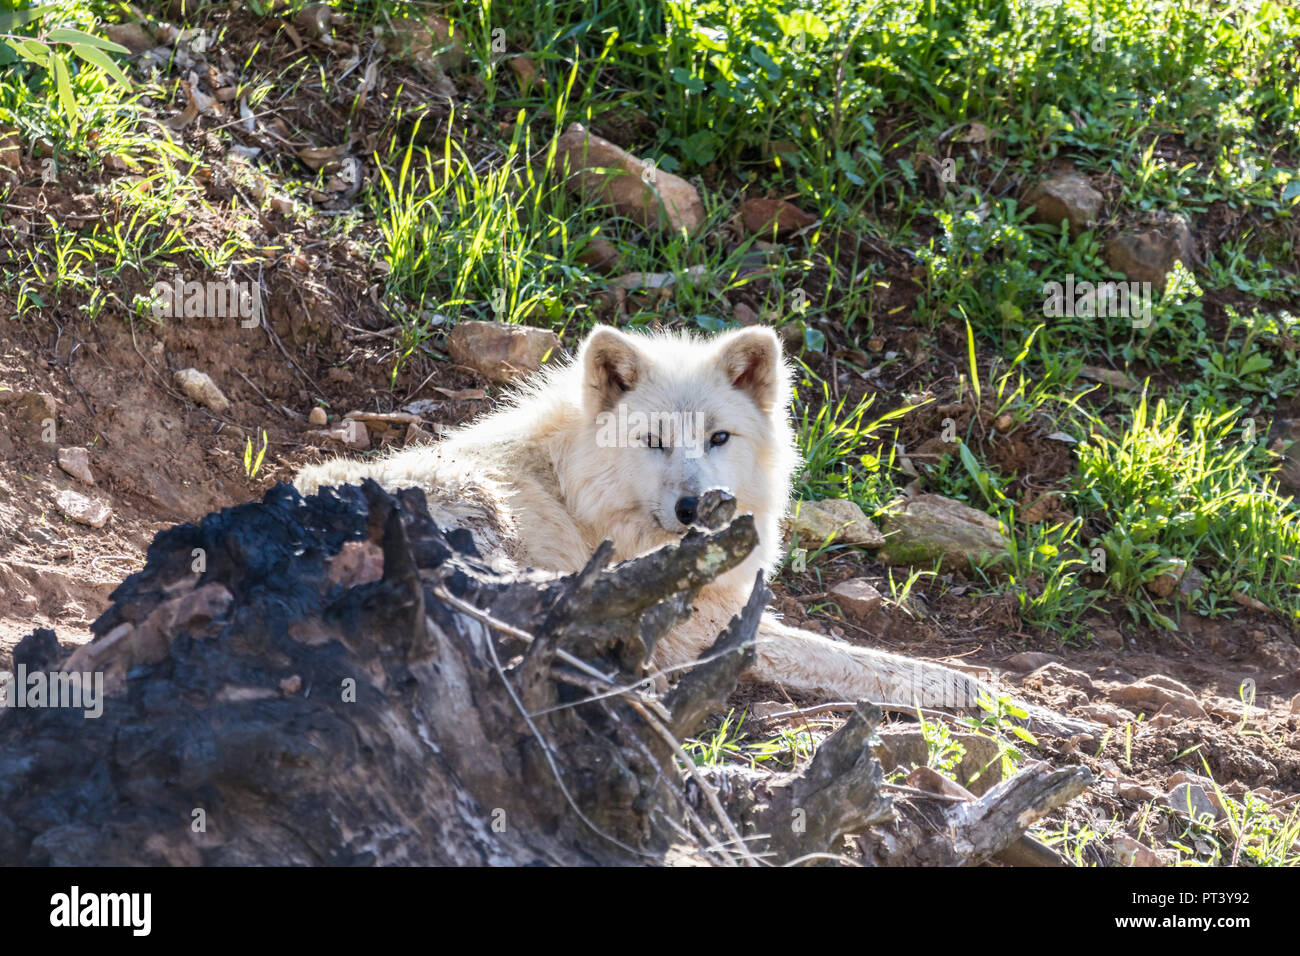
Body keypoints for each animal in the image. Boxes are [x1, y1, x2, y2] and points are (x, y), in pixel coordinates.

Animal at [295, 325, 984, 711]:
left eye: (718, 437)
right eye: (653, 440)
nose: (694, 507)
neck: (583, 498)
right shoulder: (702, 624)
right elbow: (857, 660)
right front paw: (977, 691)